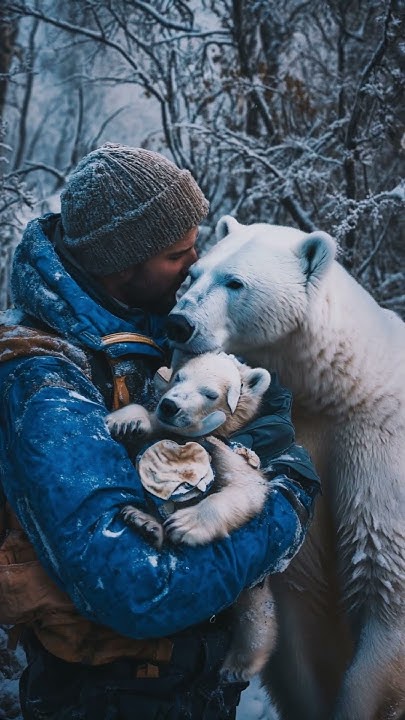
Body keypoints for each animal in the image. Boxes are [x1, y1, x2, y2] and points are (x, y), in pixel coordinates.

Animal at [107, 351, 277, 680]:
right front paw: (126, 421)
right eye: (179, 377)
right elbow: (150, 432)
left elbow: (248, 489)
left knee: (256, 617)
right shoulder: (168, 432)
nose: (169, 405)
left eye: (210, 394)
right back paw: (144, 522)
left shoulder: (233, 451)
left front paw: (187, 524)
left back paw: (238, 665)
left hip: (254, 588)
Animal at [166, 216, 405, 720]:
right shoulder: (303, 440)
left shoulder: (377, 452)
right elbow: (296, 604)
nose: (178, 322)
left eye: (235, 282)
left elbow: (384, 584)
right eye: (194, 273)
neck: (334, 390)